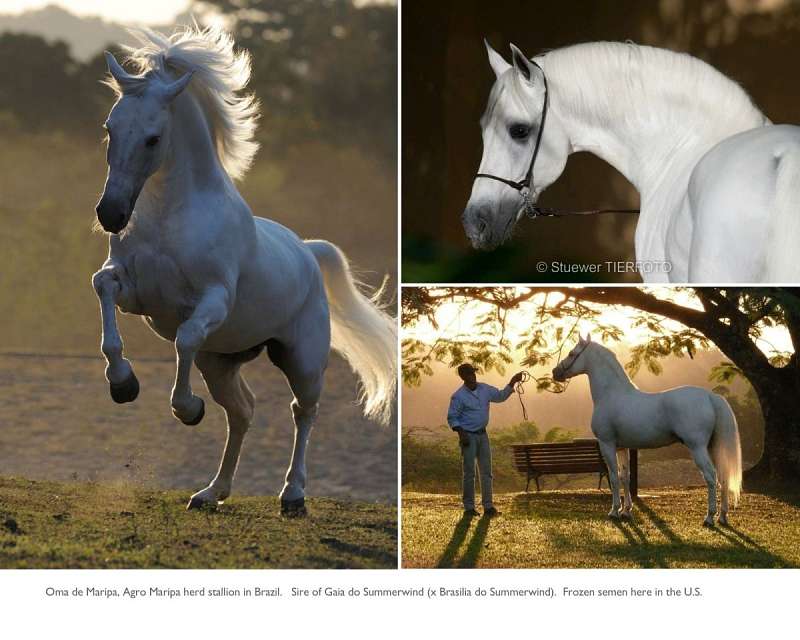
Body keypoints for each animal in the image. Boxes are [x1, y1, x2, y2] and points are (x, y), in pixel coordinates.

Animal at [91, 26, 396, 516]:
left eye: (153, 139)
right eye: (109, 128)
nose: (111, 214)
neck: (171, 216)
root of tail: (308, 251)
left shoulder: (211, 300)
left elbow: (185, 338)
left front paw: (186, 408)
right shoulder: (135, 291)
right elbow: (102, 289)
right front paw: (123, 384)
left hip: (302, 358)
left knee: (302, 412)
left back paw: (292, 495)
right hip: (221, 361)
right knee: (242, 412)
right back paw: (211, 492)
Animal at [552, 335, 742, 527]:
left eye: (572, 353)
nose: (555, 372)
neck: (611, 394)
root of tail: (711, 396)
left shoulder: (607, 444)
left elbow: (613, 477)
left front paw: (614, 511)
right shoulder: (622, 447)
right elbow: (625, 477)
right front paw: (626, 511)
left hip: (697, 447)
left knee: (711, 476)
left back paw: (709, 517)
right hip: (713, 446)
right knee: (723, 476)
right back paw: (722, 516)